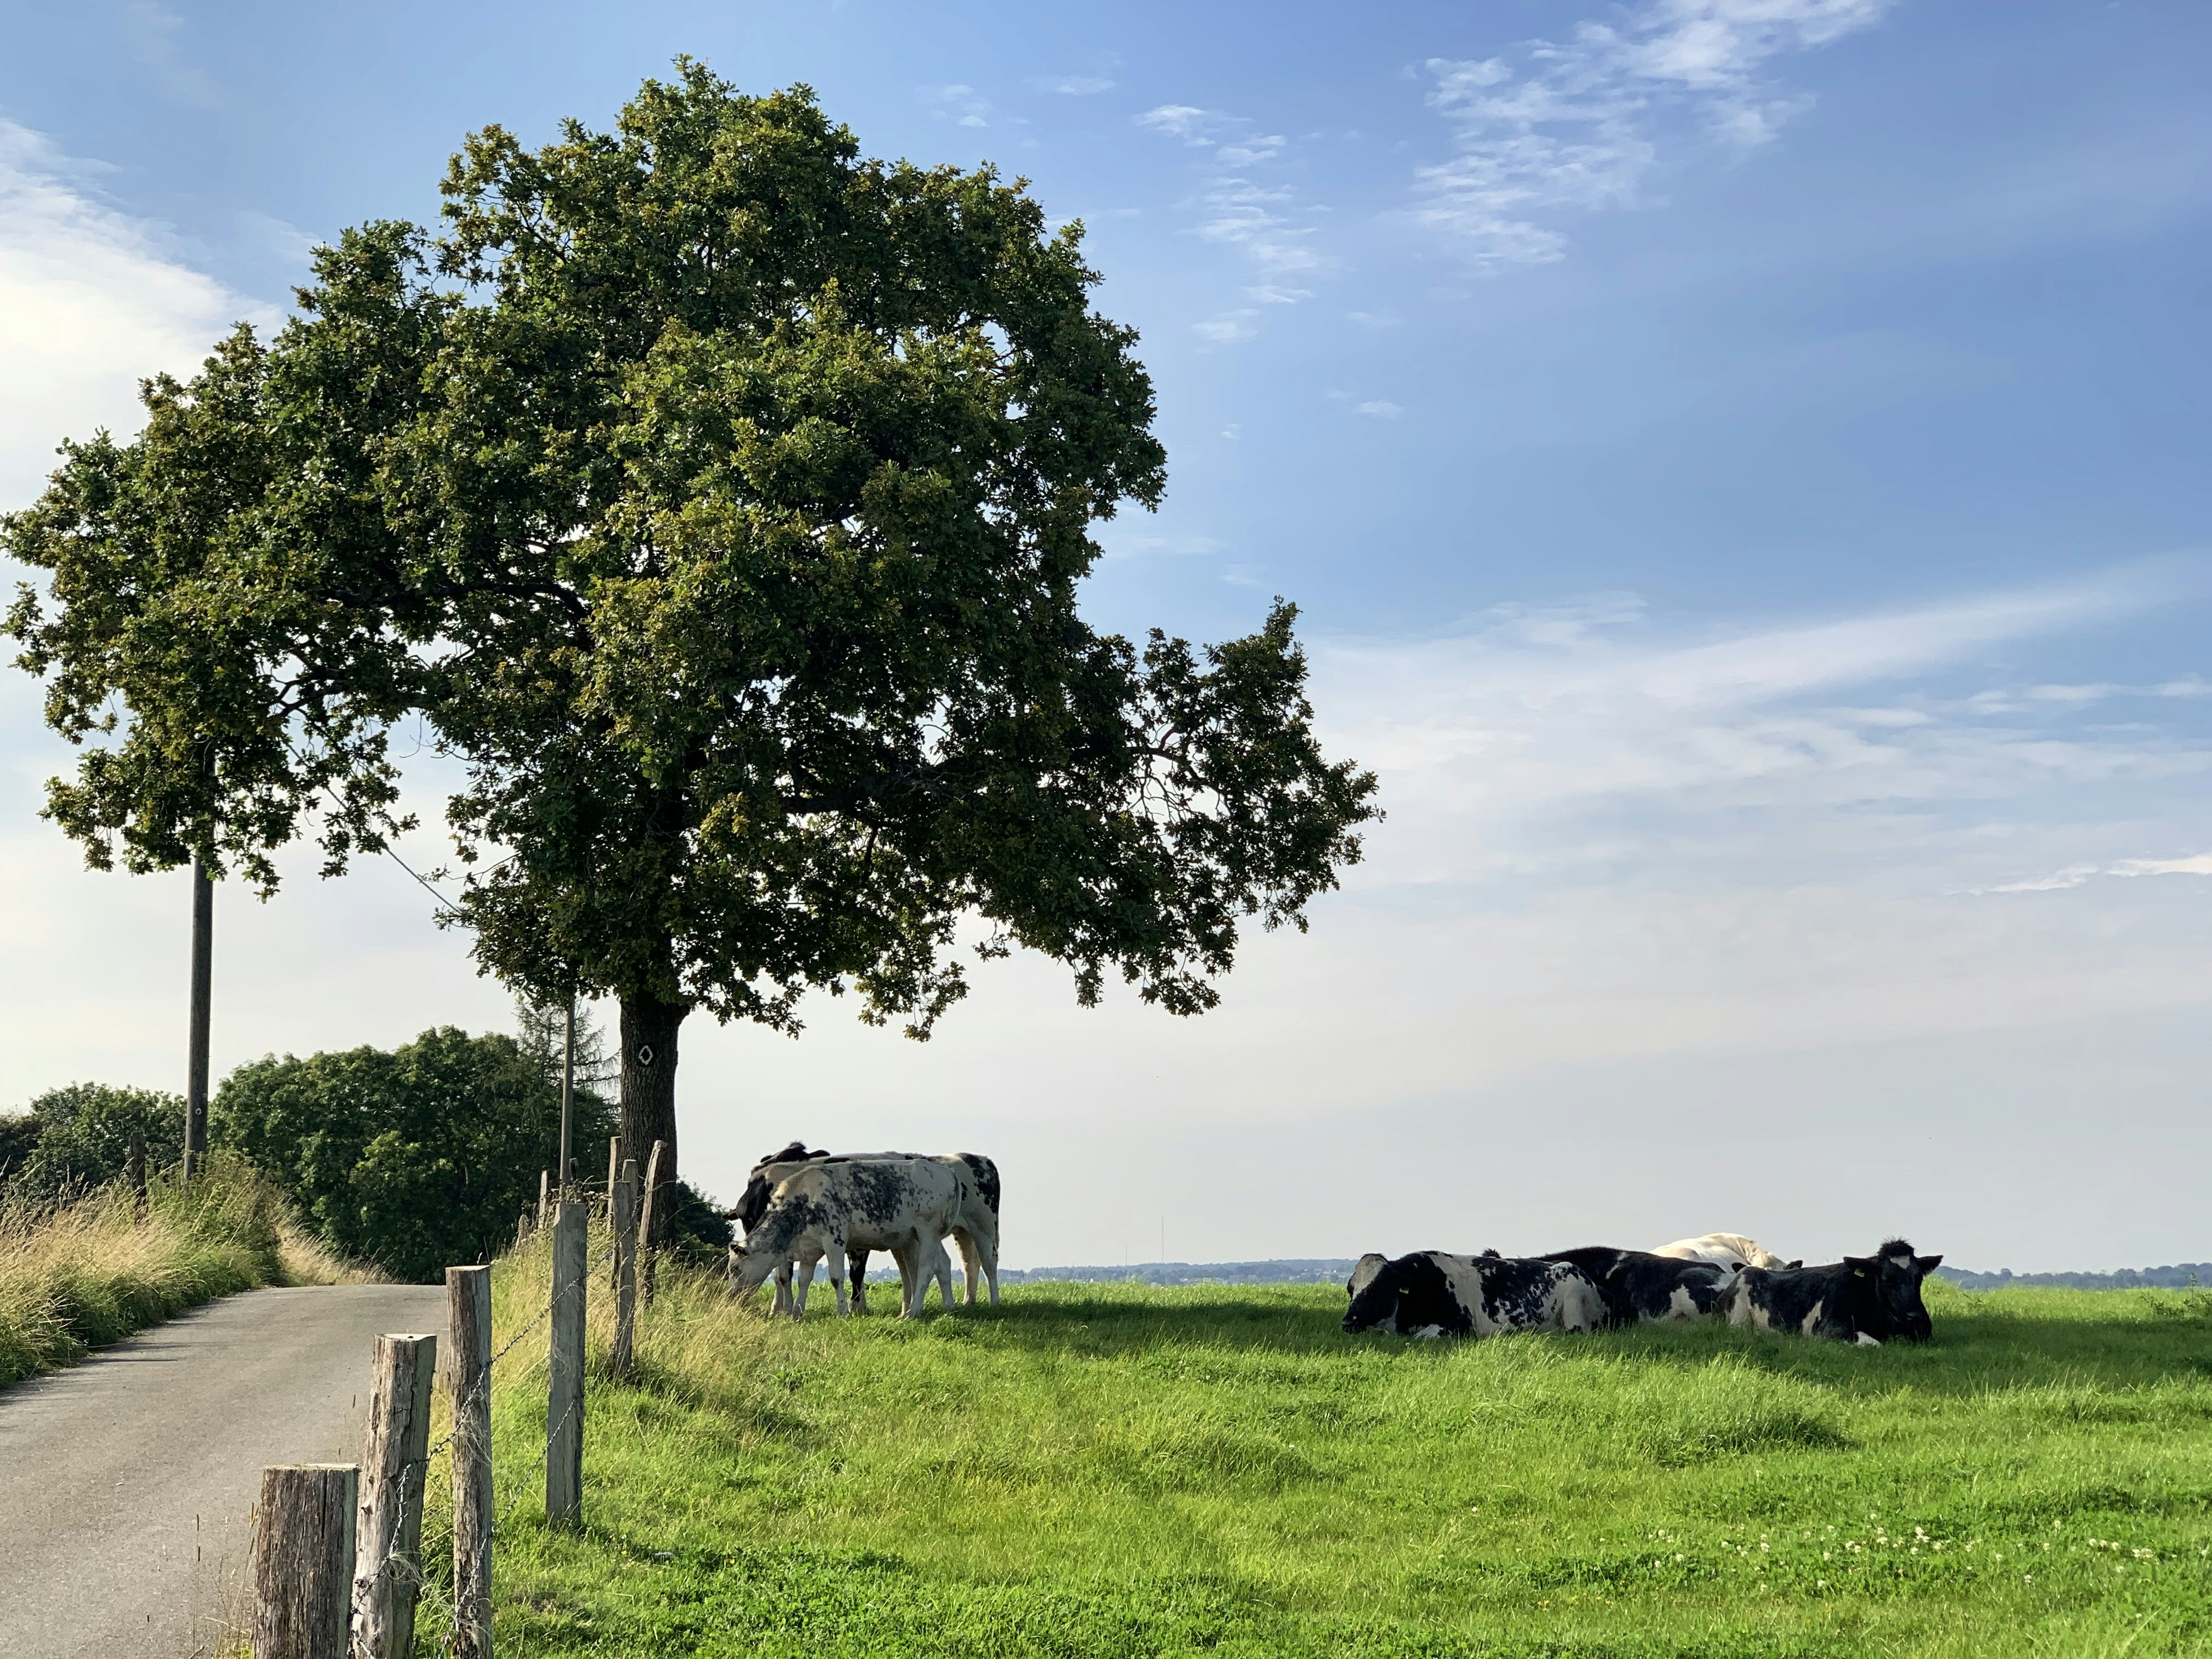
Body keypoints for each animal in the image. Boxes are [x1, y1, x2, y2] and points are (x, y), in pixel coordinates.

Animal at [733, 1146, 1002, 1311]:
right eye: (744, 1219)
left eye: (735, 1270)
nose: (732, 1298)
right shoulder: (806, 1249)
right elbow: (791, 1277)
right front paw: (790, 1310)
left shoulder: (841, 1241)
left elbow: (844, 1275)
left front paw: (851, 1309)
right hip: (944, 1235)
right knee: (957, 1264)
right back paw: (958, 1303)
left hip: (978, 1227)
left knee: (984, 1262)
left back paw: (990, 1303)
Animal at [1342, 1251, 1607, 1339]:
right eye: (1351, 1288)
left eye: (1381, 1288)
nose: (1347, 1322)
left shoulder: (1461, 1325)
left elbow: (1423, 1336)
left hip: (1574, 1312)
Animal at [1719, 1238, 1944, 1345]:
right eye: (1888, 1279)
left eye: (1919, 1278)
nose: (1916, 1317)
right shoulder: (1833, 1329)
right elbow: (1873, 1343)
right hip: (1738, 1318)